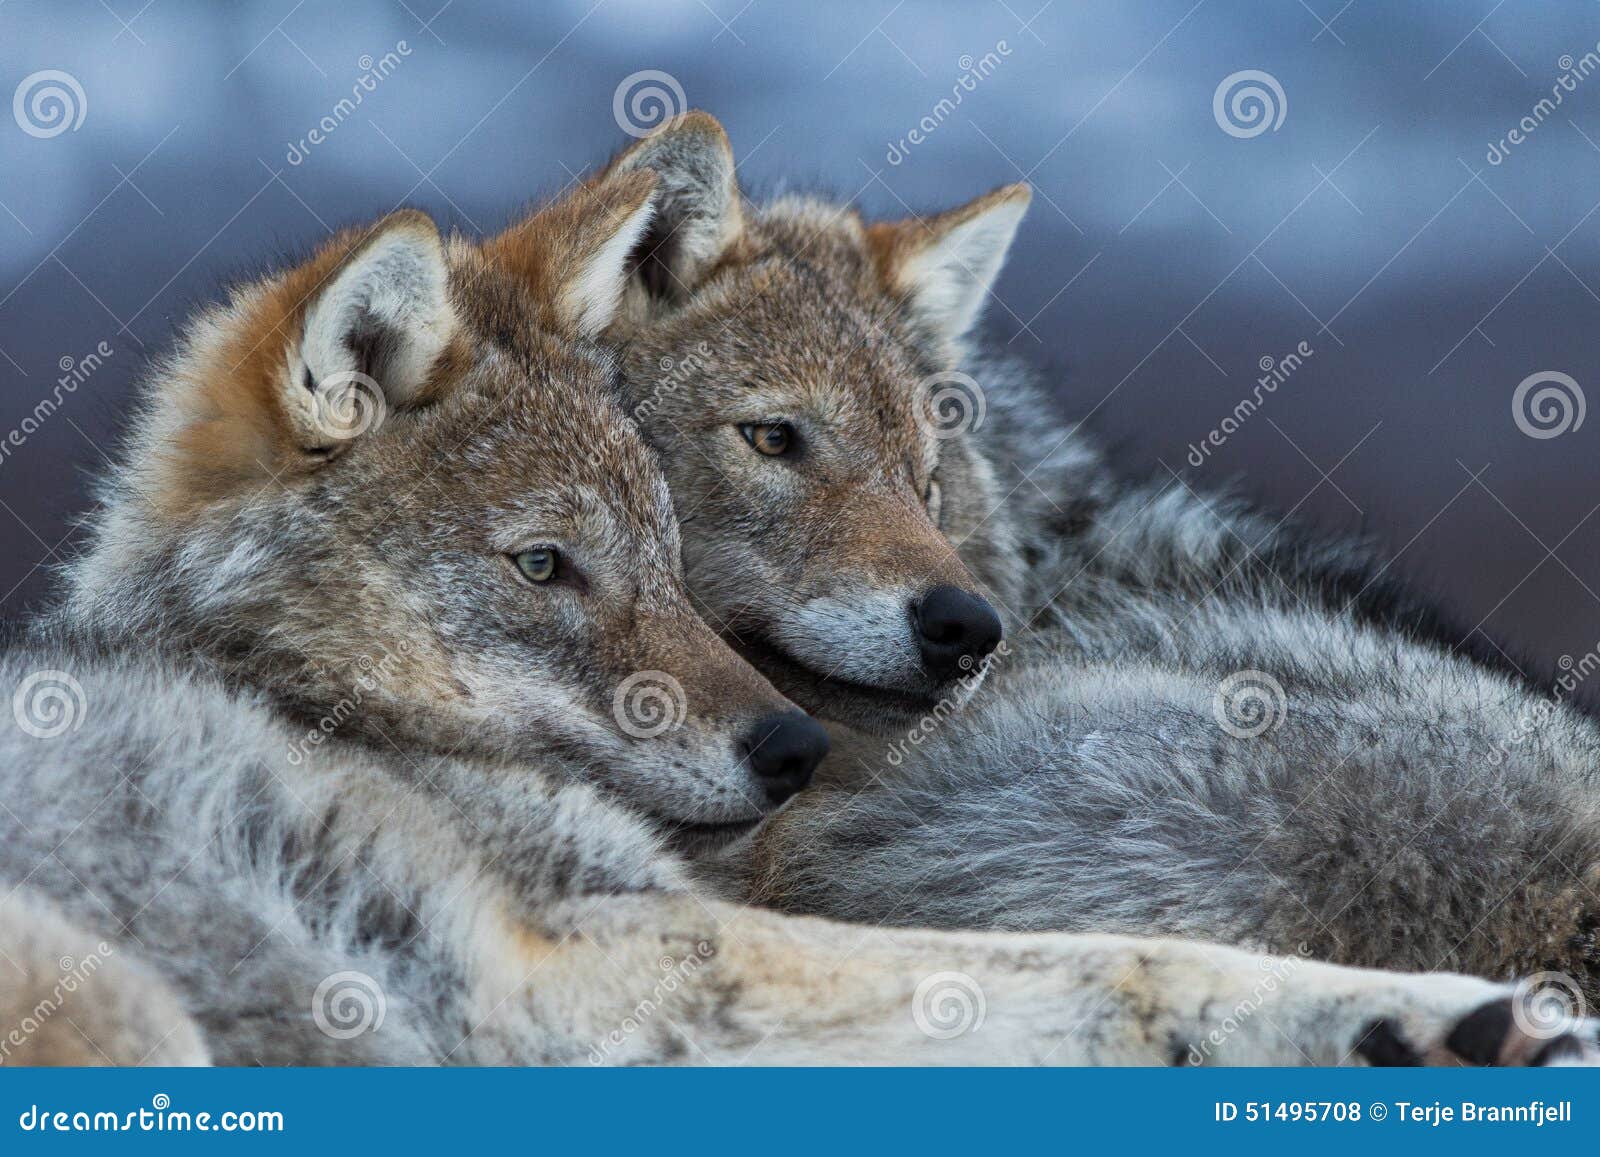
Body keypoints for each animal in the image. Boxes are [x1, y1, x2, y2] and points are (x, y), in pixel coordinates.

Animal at [1, 169, 1551, 1067]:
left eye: (665, 550)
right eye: (546, 565)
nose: (793, 751)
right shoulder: (576, 957)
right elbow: (1117, 959)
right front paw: (1415, 1012)